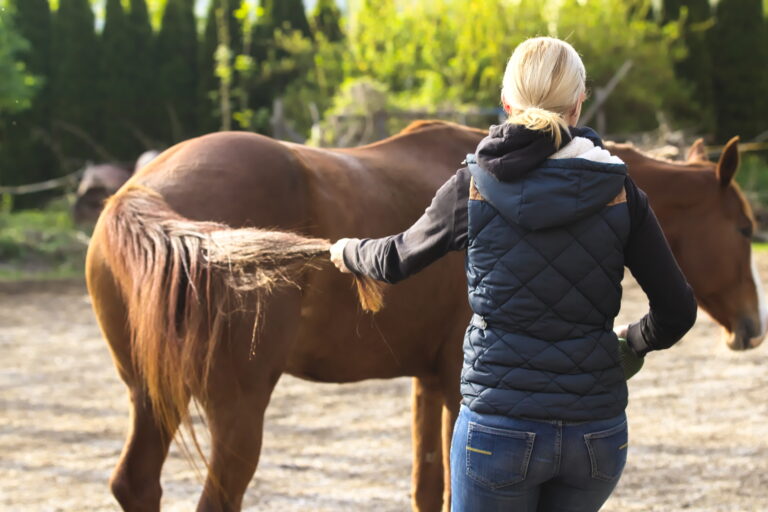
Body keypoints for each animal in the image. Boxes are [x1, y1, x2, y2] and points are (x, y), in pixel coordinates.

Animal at [84, 120, 764, 512]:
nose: (753, 328)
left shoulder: (429, 381)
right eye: (744, 227)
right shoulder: (460, 396)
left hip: (153, 397)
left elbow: (427, 486)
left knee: (136, 484)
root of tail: (142, 192)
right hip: (236, 410)